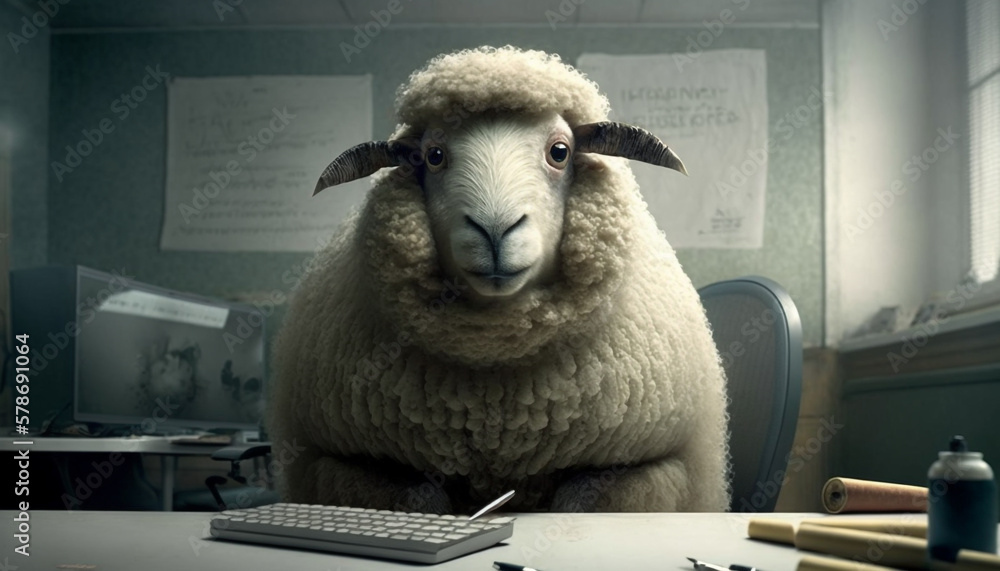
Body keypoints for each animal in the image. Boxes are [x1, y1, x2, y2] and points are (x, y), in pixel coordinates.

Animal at [267, 45, 730, 513]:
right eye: (433, 156)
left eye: (560, 151)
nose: (494, 230)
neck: (497, 417)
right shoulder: (336, 463)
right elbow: (423, 497)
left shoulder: (655, 468)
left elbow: (576, 502)